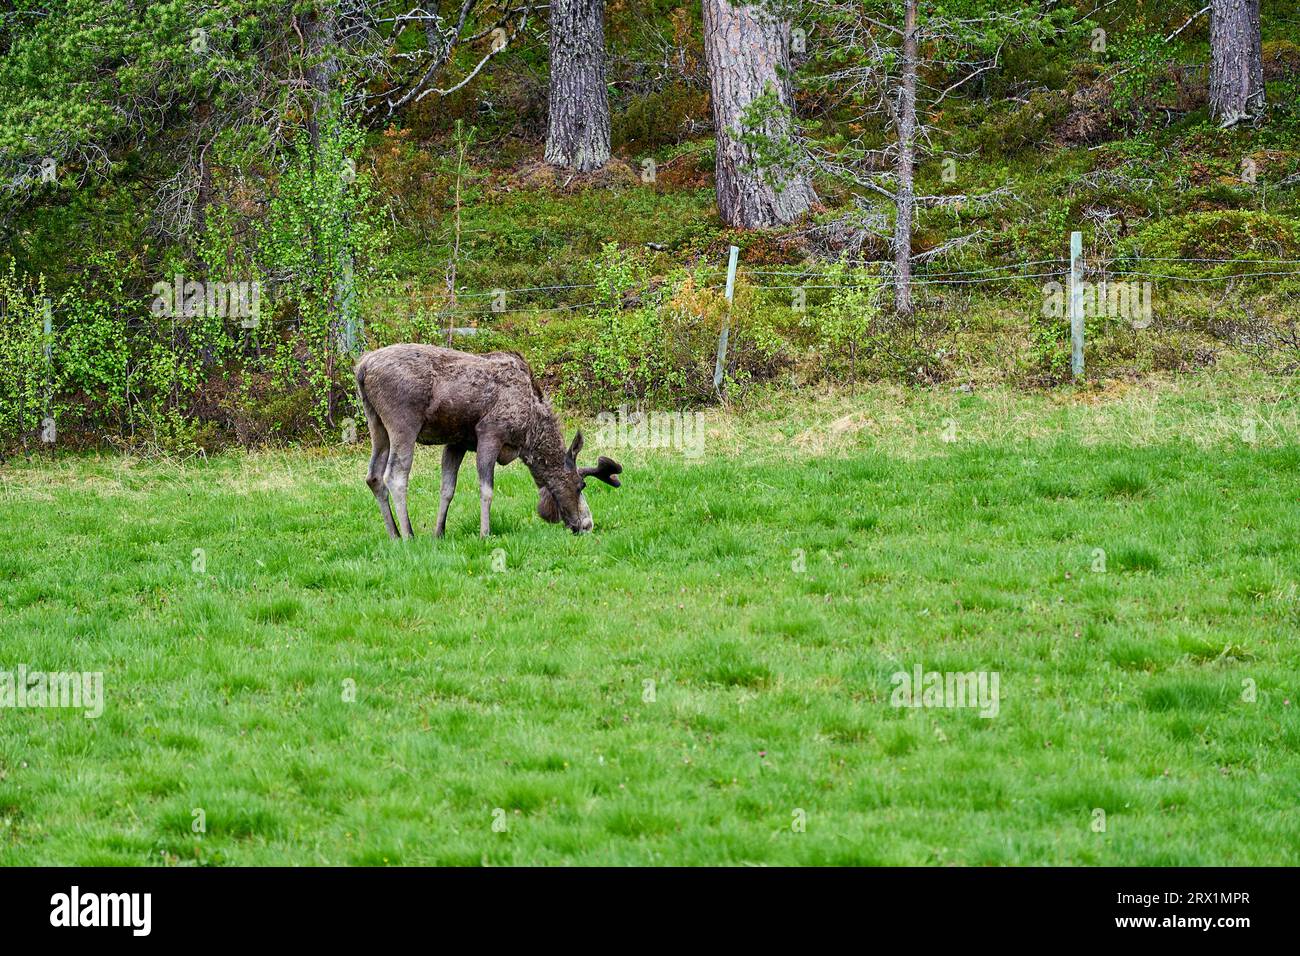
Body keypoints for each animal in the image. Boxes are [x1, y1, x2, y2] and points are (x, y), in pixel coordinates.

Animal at [354, 343, 622, 538]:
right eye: (580, 485)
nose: (587, 524)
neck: (529, 436)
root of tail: (361, 369)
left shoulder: (457, 443)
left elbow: (447, 489)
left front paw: (439, 533)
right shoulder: (490, 433)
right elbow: (486, 490)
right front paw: (485, 533)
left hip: (376, 424)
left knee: (373, 476)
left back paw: (394, 534)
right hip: (403, 424)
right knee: (395, 475)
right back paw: (408, 534)